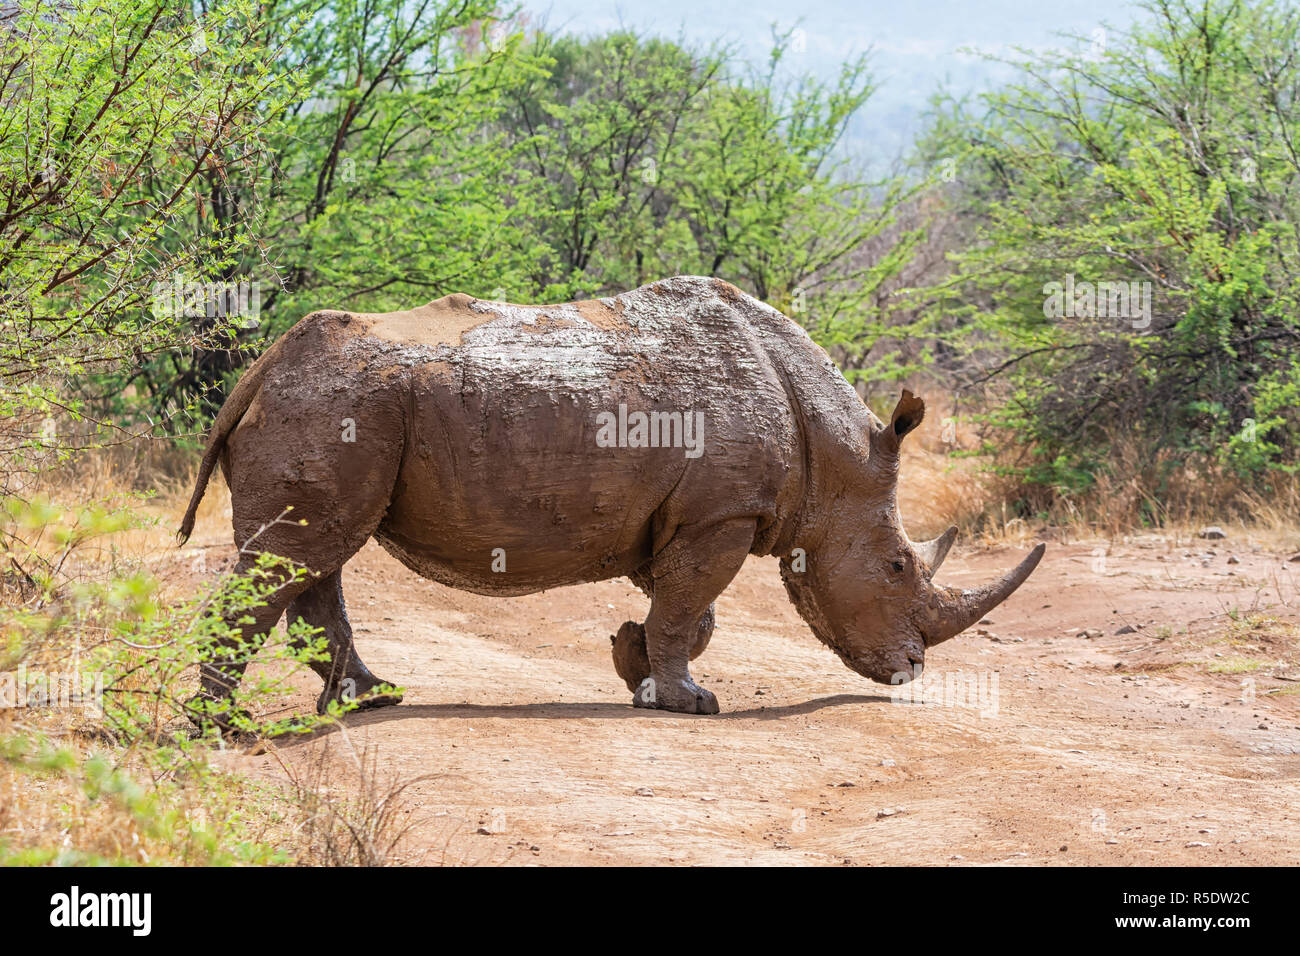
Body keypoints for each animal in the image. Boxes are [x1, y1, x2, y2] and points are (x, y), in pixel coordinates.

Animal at [179, 275, 1043, 722]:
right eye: (898, 566)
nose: (911, 669)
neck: (834, 452)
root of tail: (264, 366)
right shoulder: (723, 512)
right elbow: (688, 605)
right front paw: (693, 704)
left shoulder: (688, 513)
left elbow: (687, 608)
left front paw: (635, 666)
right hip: (336, 406)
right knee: (299, 558)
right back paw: (224, 727)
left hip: (341, 406)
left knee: (314, 558)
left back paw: (372, 701)